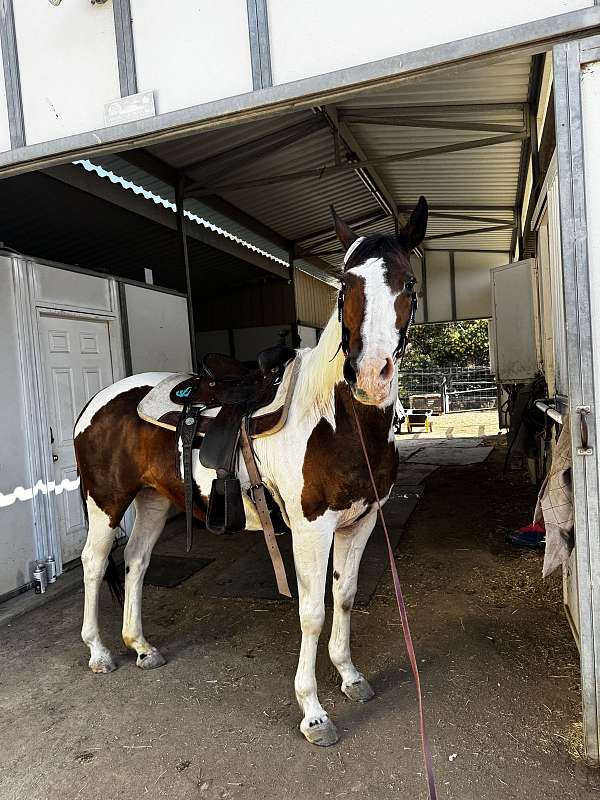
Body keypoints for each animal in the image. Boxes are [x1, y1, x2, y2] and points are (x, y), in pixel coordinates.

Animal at [73, 196, 428, 747]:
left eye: (408, 283)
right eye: (344, 285)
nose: (370, 376)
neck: (337, 420)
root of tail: (99, 399)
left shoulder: (363, 521)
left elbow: (345, 597)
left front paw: (350, 677)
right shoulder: (310, 529)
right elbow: (313, 612)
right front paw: (313, 712)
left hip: (153, 500)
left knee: (135, 562)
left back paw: (141, 647)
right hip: (106, 501)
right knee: (93, 563)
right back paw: (100, 652)